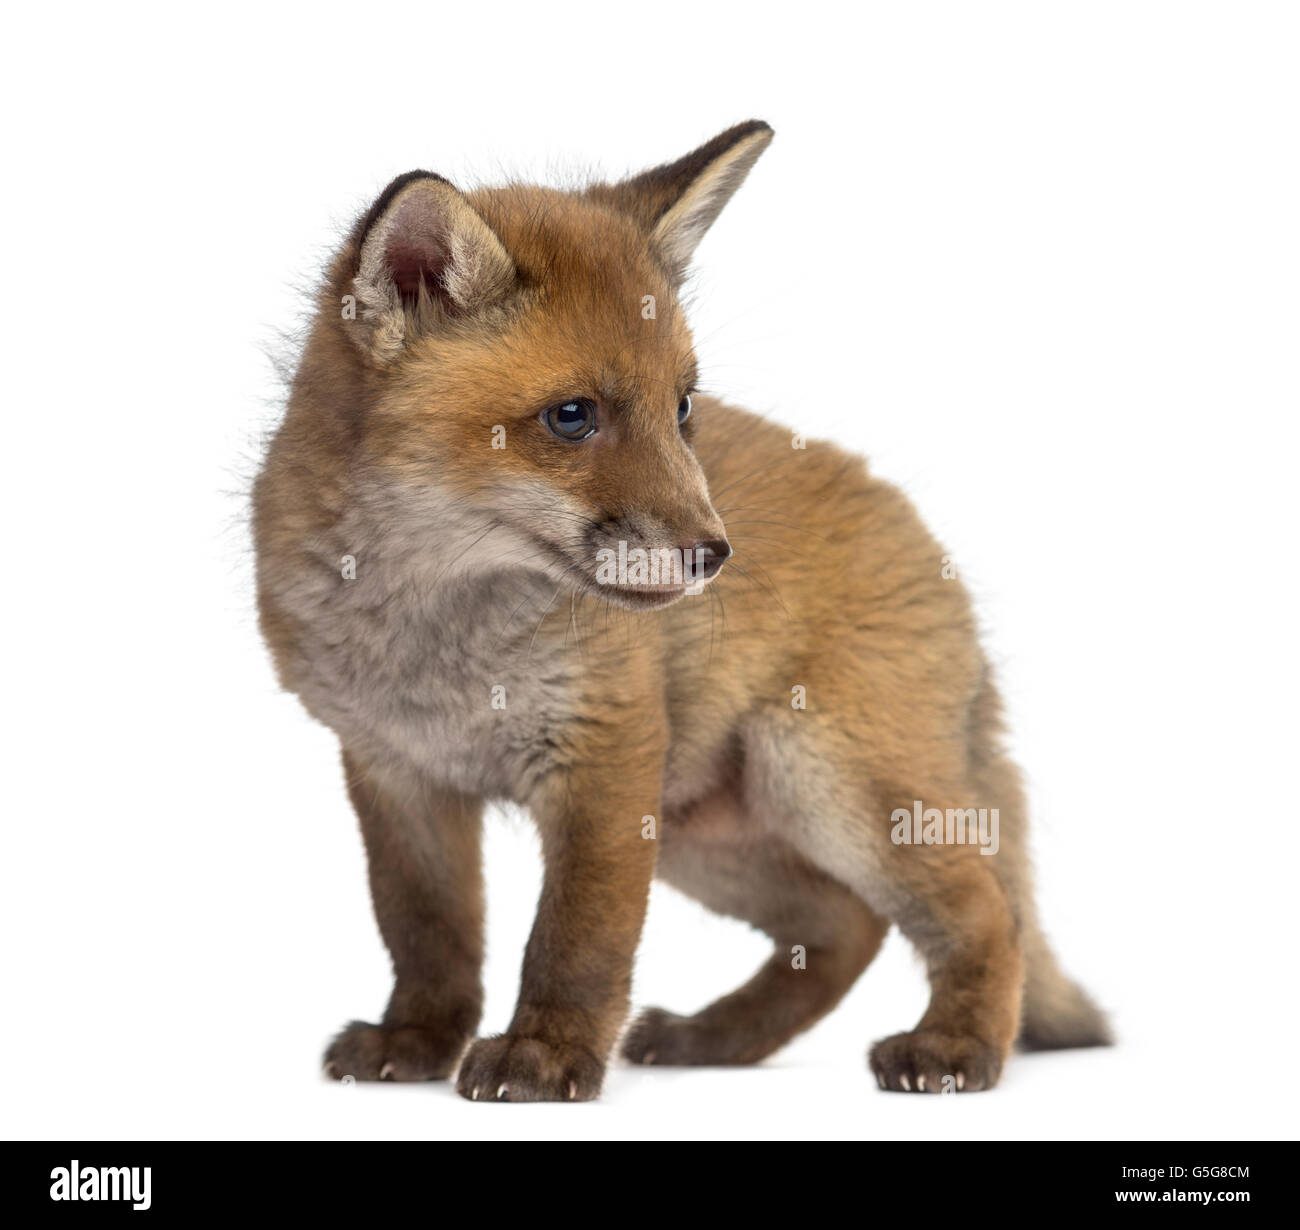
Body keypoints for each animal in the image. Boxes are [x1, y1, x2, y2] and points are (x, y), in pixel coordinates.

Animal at [253, 120, 1110, 1102]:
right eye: (573, 416)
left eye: (684, 406)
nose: (715, 554)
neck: (435, 634)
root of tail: (925, 540)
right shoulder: (395, 774)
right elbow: (427, 933)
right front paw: (417, 1038)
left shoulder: (606, 755)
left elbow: (577, 939)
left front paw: (545, 1052)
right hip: (710, 833)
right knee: (845, 923)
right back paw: (716, 1038)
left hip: (828, 780)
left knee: (987, 913)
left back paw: (956, 1047)